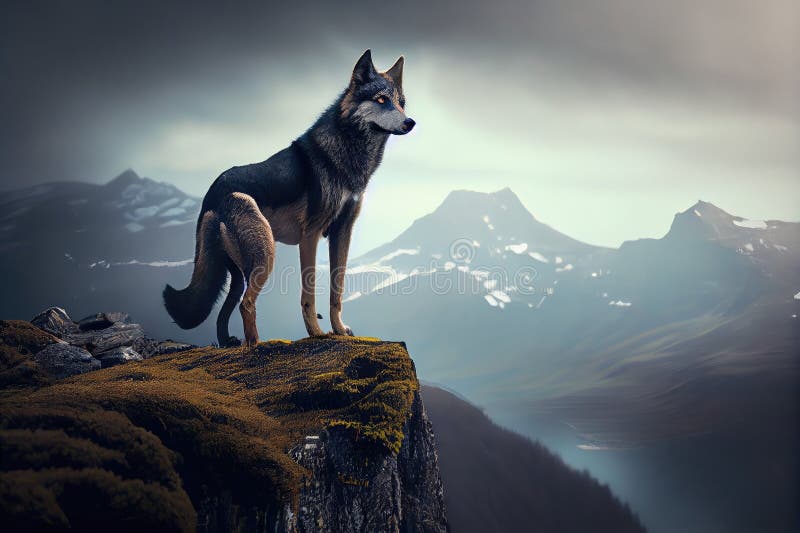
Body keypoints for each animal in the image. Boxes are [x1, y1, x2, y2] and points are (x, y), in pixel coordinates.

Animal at [163, 50, 414, 347]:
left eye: (401, 104)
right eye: (381, 100)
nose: (410, 122)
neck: (345, 156)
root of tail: (210, 197)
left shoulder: (343, 232)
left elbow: (337, 291)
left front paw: (339, 330)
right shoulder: (310, 236)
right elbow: (309, 295)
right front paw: (316, 333)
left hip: (238, 272)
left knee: (226, 312)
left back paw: (231, 343)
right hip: (265, 255)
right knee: (246, 304)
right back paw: (256, 346)